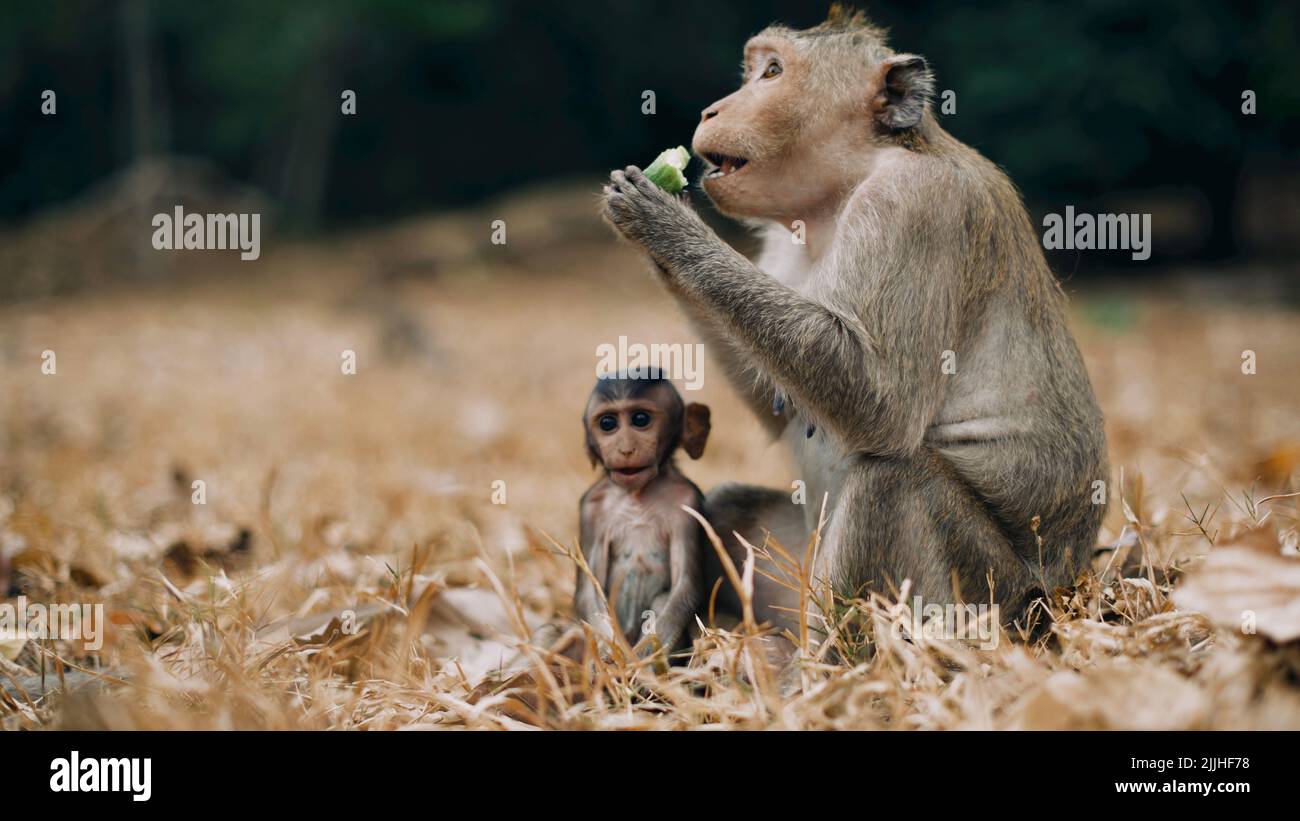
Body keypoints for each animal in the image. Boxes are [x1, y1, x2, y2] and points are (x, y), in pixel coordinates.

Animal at [576, 372, 711, 656]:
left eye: (640, 419)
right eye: (607, 423)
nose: (626, 449)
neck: (637, 495)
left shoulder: (688, 501)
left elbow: (686, 585)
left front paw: (642, 657)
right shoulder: (591, 509)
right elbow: (588, 591)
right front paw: (612, 654)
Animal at [601, 6, 1108, 649]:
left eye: (772, 72)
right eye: (755, 68)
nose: (711, 111)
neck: (840, 194)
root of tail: (1062, 592)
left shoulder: (912, 205)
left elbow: (880, 402)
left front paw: (666, 225)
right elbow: (779, 405)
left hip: (986, 599)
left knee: (892, 480)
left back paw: (829, 665)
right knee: (731, 505)